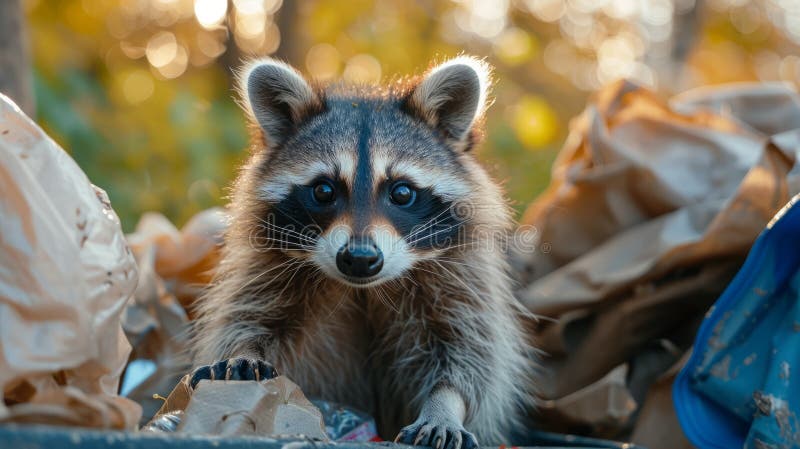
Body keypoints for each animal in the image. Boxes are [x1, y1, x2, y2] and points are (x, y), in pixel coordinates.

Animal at [190, 56, 537, 448]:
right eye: (323, 190)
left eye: (402, 192)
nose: (358, 259)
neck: (367, 290)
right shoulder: (266, 265)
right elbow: (249, 315)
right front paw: (245, 351)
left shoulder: (462, 273)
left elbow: (469, 350)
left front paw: (445, 404)